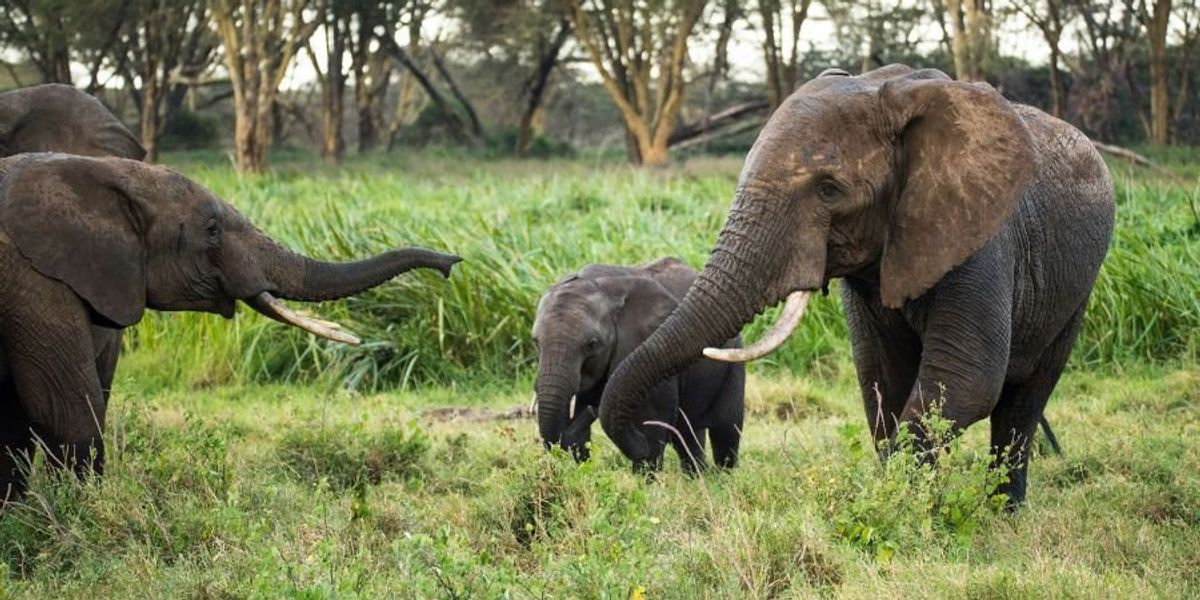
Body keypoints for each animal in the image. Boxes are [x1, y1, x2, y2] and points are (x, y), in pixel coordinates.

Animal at [0, 153, 460, 500]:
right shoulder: (32, 281)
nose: (451, 263)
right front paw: (80, 515)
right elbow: (66, 412)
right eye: (212, 229)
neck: (93, 171)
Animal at [532, 257, 745, 472]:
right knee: (688, 434)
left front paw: (644, 477)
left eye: (591, 344)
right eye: (535, 342)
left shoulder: (644, 342)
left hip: (733, 357)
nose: (592, 411)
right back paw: (698, 475)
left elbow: (652, 423)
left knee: (725, 430)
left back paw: (724, 474)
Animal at [598, 64, 1114, 506]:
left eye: (829, 190)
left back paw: (1004, 512)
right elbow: (881, 377)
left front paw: (898, 507)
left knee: (1024, 399)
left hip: (1076, 289)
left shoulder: (983, 235)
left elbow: (964, 376)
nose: (646, 451)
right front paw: (904, 500)